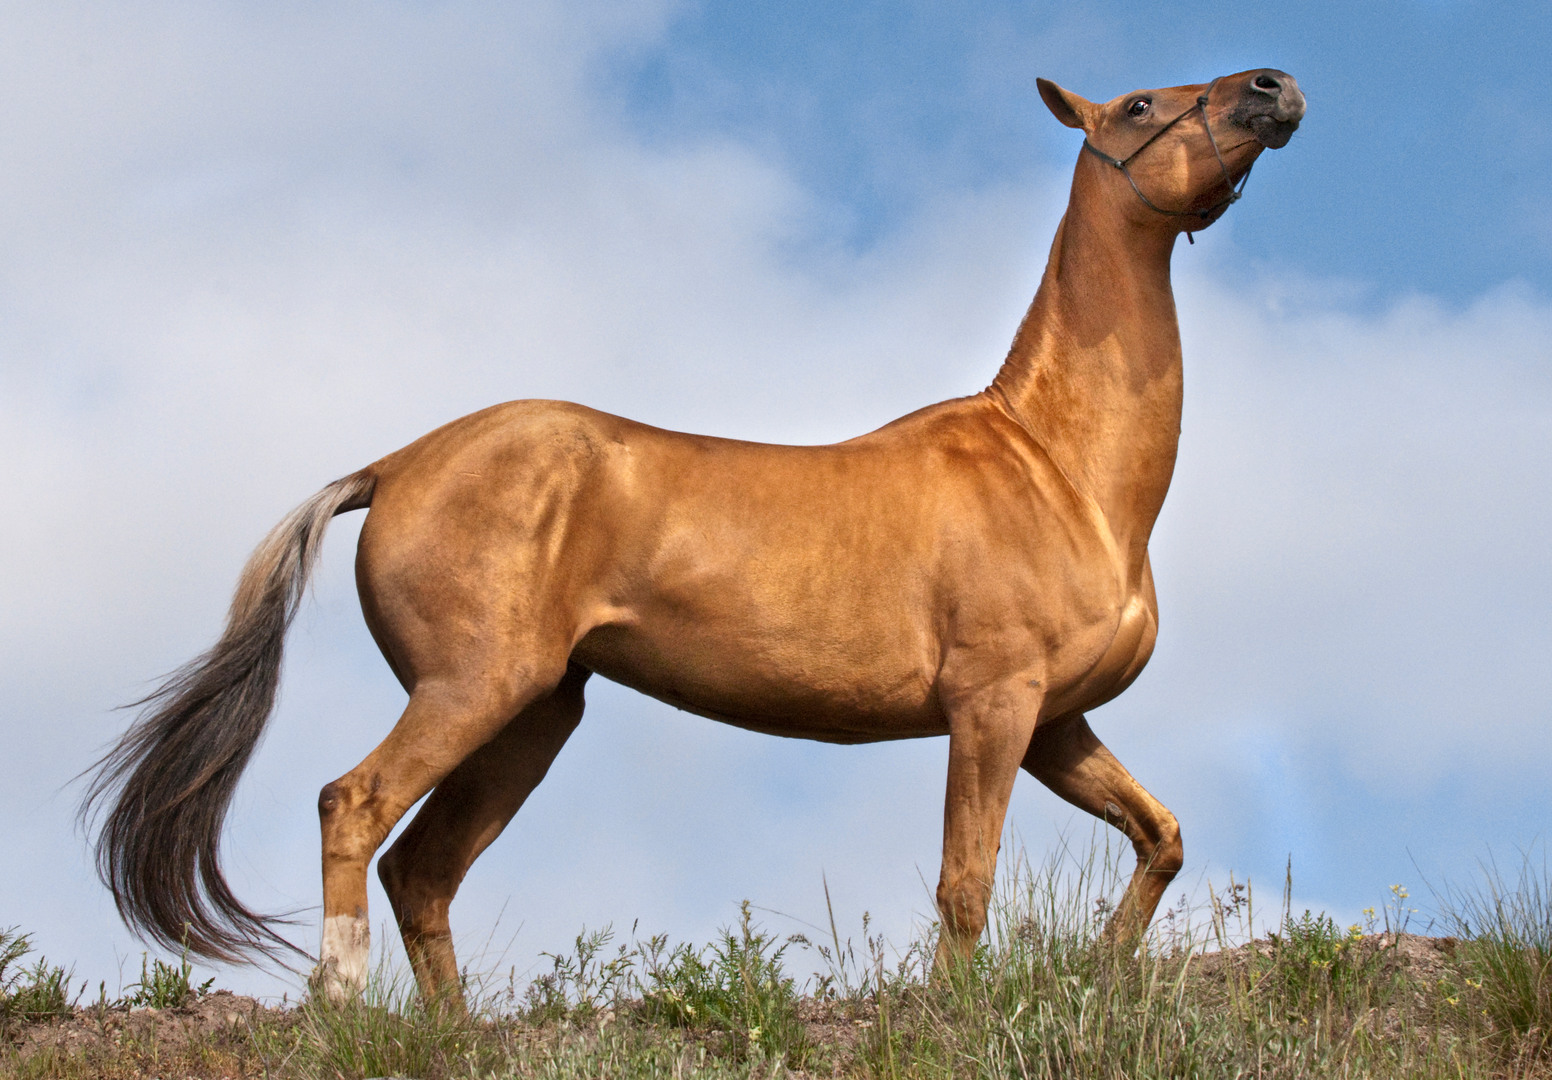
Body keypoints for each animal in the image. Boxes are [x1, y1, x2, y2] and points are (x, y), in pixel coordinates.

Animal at [85, 68, 1304, 1010]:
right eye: (1139, 103)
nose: (1272, 88)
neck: (1056, 468)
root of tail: (395, 464)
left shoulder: (1055, 722)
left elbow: (1159, 835)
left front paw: (1100, 972)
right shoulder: (993, 705)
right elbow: (966, 884)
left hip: (534, 715)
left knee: (423, 874)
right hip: (475, 688)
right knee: (356, 806)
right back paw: (341, 1004)